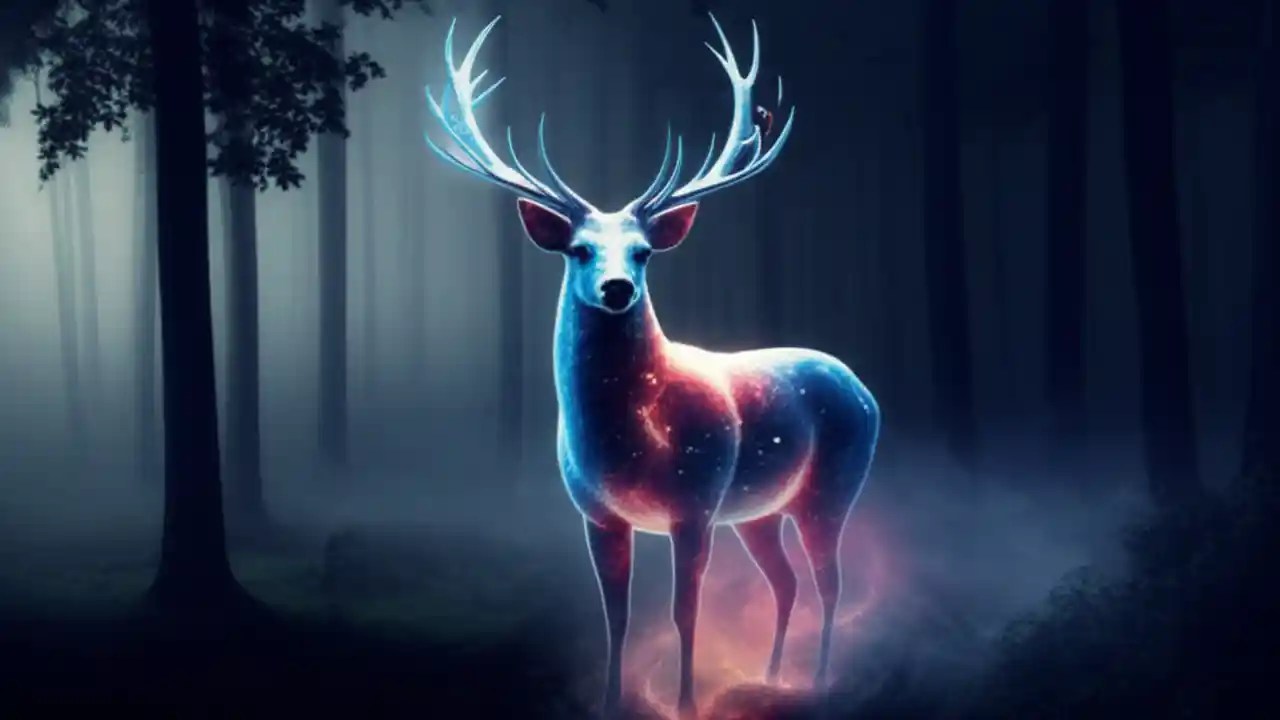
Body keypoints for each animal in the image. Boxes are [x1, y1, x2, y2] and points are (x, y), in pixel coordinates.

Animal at [423, 14, 880, 719]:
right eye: (580, 249)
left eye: (641, 253)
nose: (616, 288)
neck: (629, 444)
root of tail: (864, 388)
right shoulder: (597, 513)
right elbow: (617, 614)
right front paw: (612, 699)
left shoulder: (694, 504)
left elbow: (684, 612)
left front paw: (687, 701)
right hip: (758, 512)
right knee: (787, 584)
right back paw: (772, 674)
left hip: (832, 484)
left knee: (830, 582)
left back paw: (819, 680)